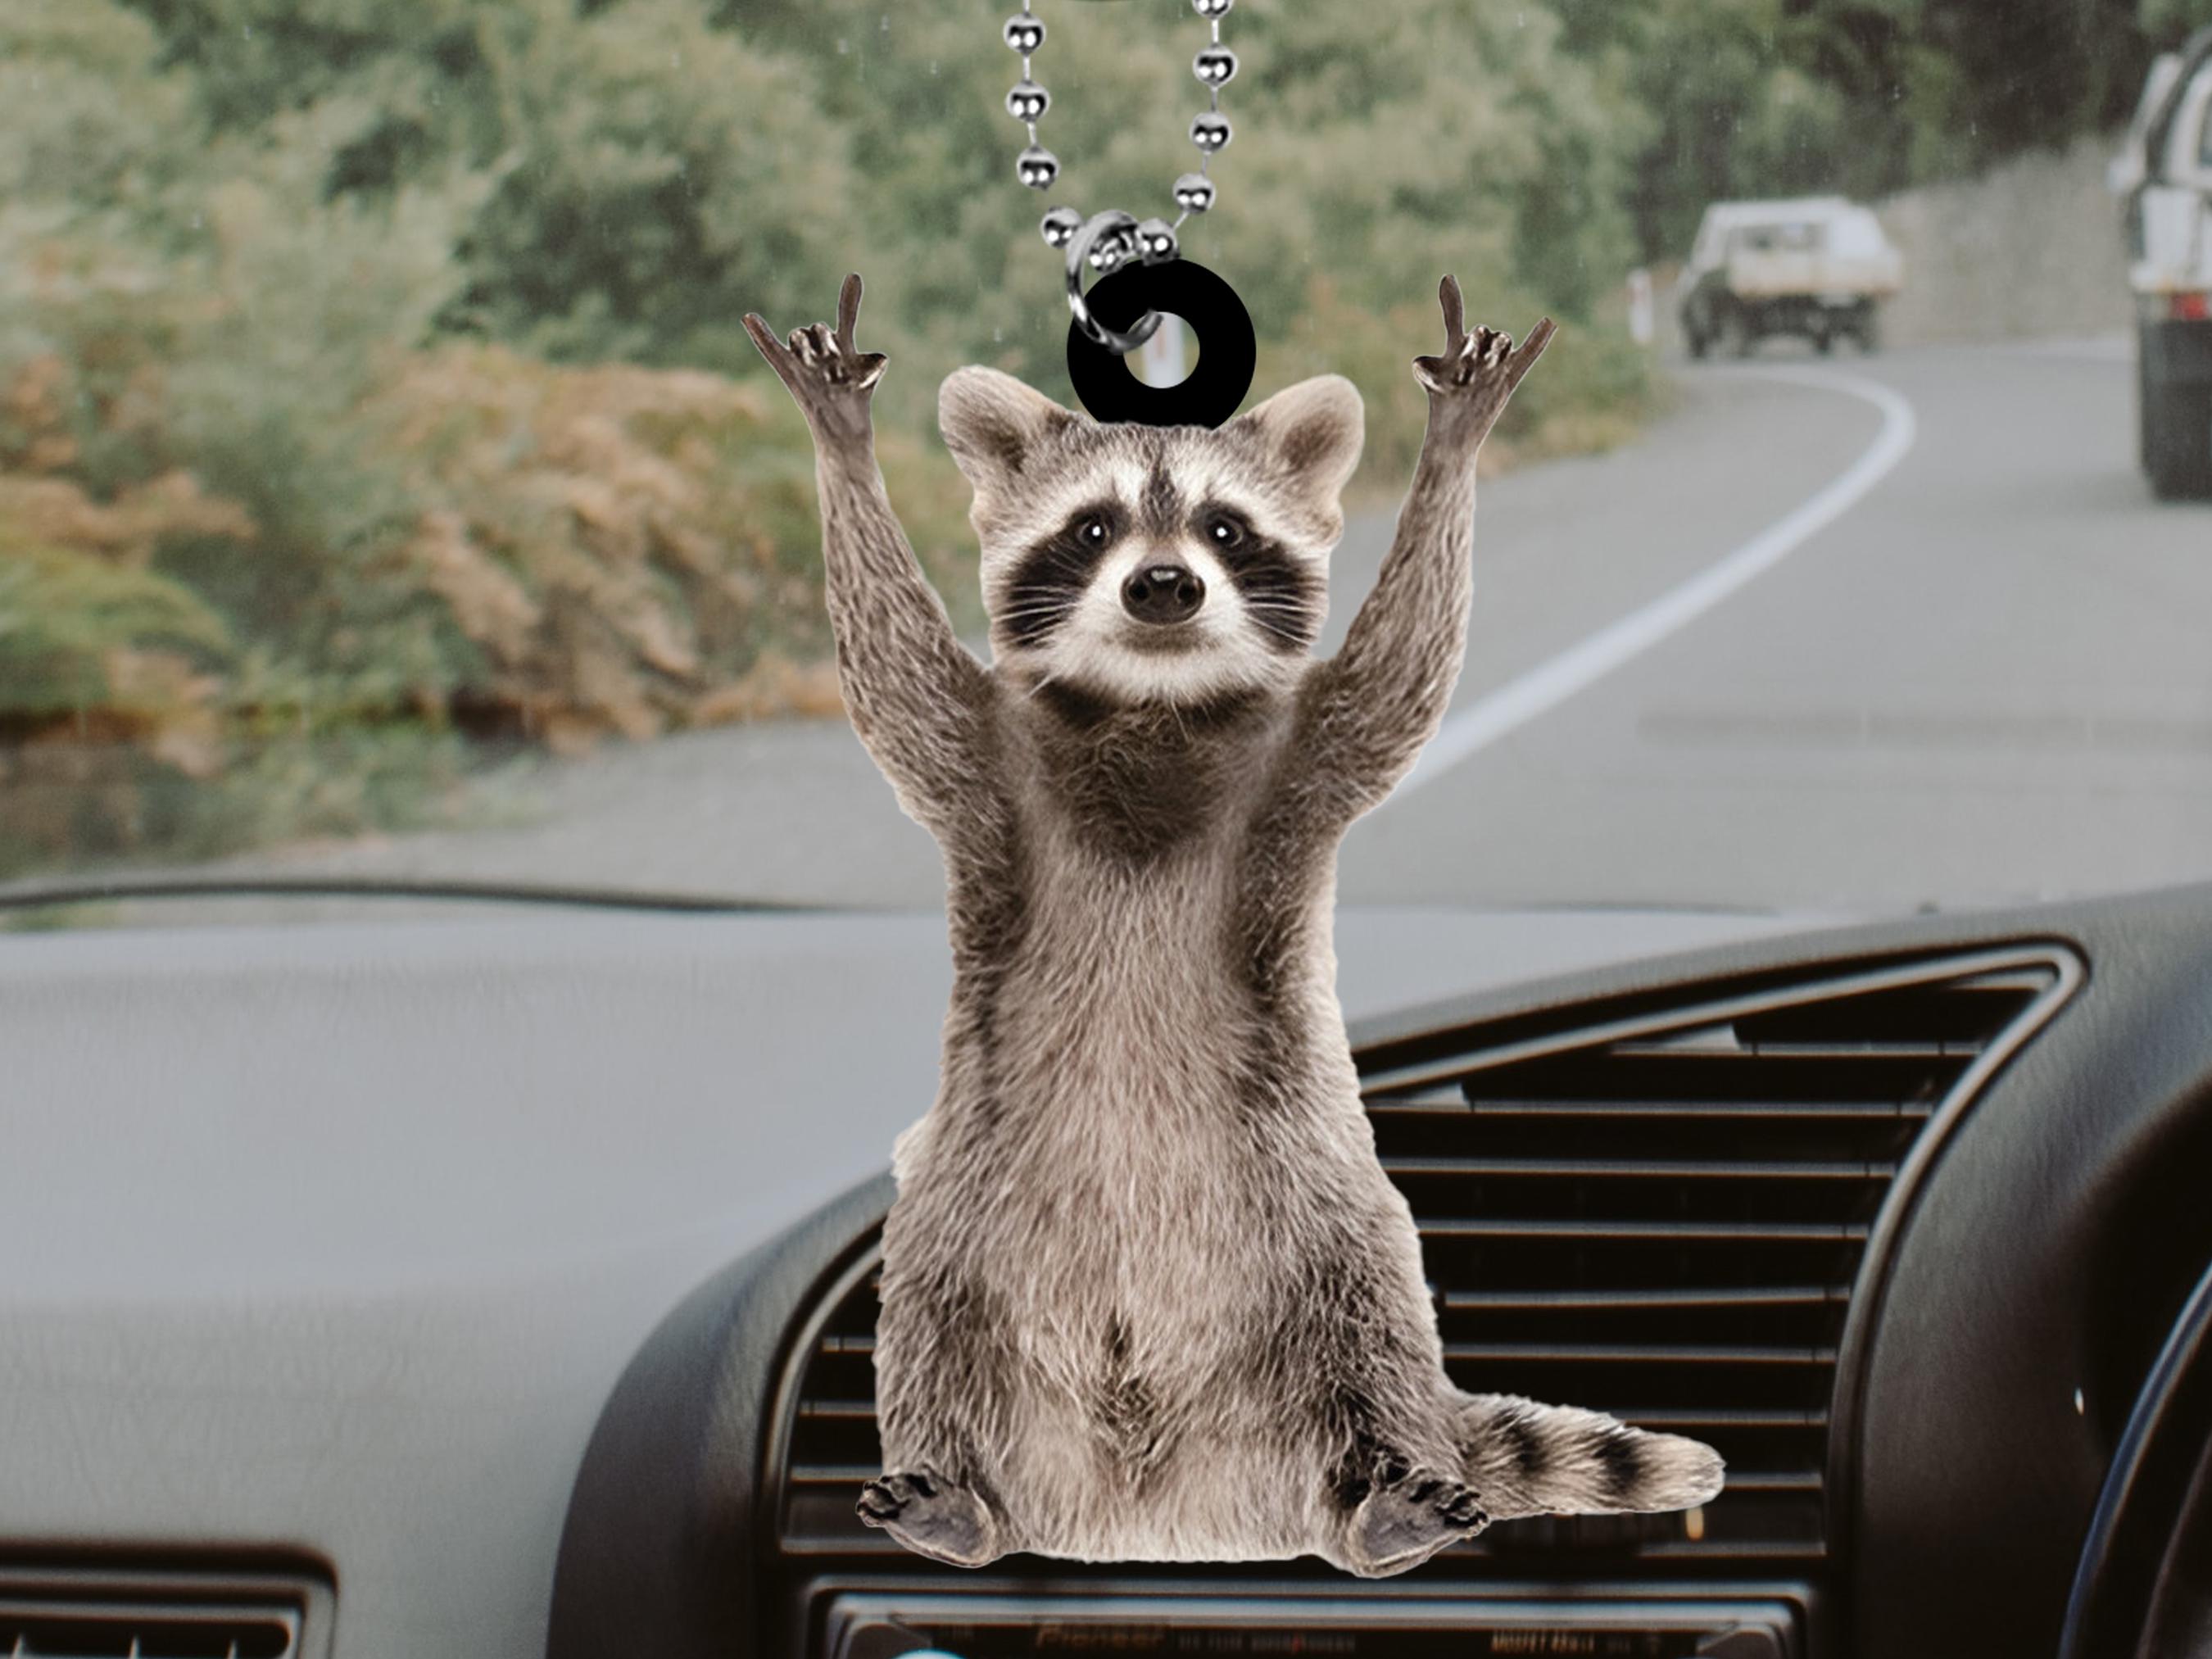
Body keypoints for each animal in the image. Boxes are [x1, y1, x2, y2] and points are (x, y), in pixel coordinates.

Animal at [743, 275, 1725, 1579]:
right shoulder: (988, 765)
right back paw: (962, 1497)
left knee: (1375, 1325)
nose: (1164, 588)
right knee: (935, 1319)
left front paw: (1453, 445)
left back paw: (1376, 1503)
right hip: (970, 1207)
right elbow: (896, 681)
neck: (1152, 708)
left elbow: (1398, 678)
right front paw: (841, 441)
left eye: (1223, 529)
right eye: (1094, 529)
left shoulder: (1299, 763)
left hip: (1318, 1217)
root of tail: (1155, 1513)